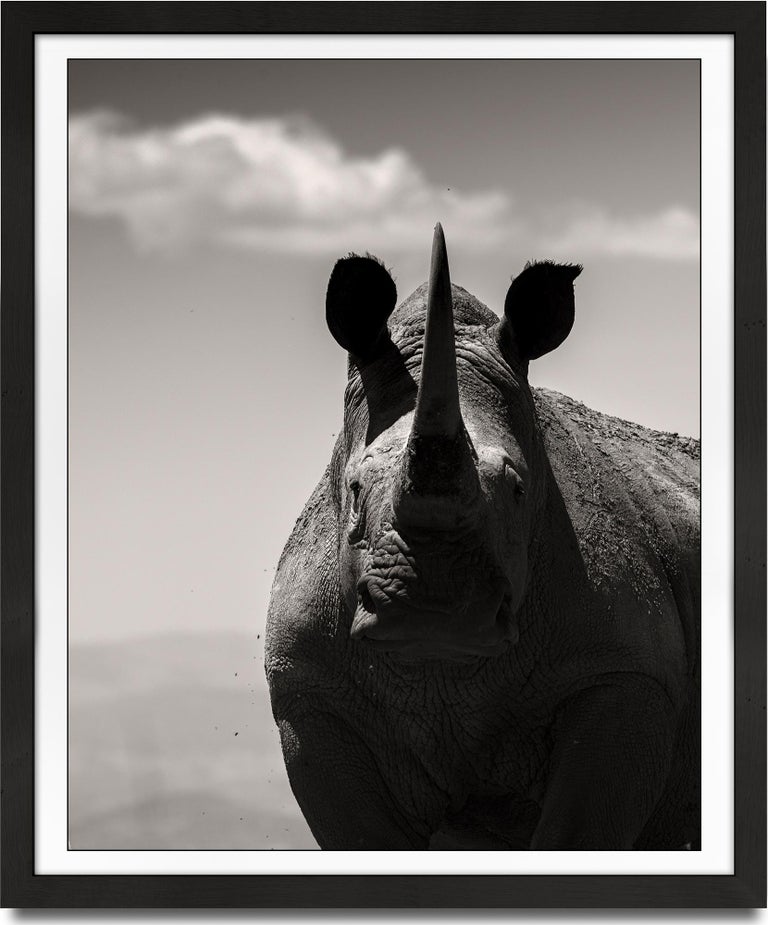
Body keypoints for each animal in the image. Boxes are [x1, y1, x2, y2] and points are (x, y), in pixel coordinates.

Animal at [266, 225, 700, 850]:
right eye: (354, 489)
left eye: (517, 488)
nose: (435, 611)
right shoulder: (310, 693)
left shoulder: (621, 672)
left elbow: (574, 829)